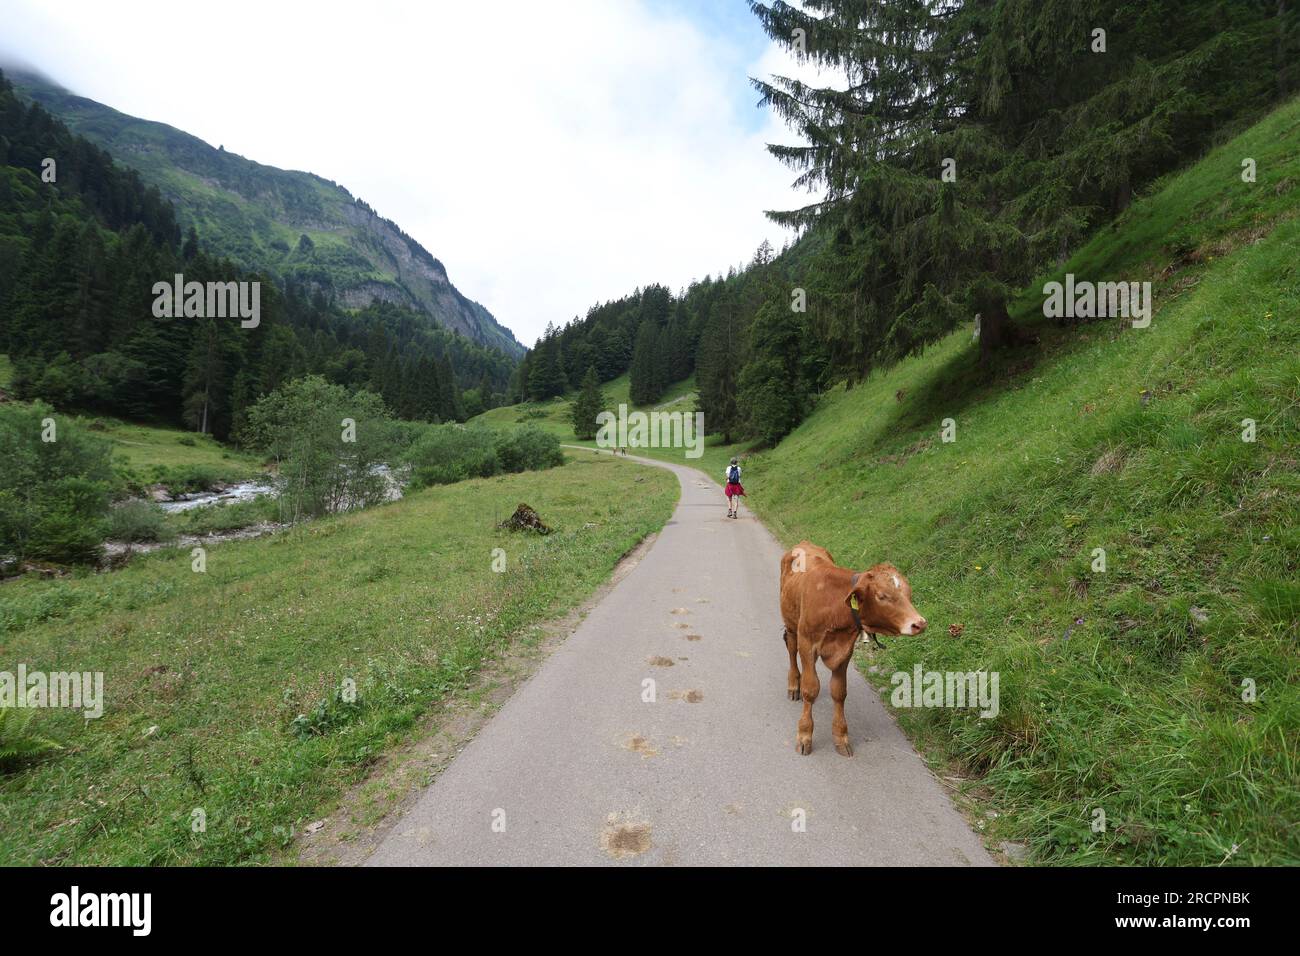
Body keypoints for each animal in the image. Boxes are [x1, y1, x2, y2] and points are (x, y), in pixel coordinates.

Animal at [779, 541, 927, 756]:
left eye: (909, 594)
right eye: (882, 596)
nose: (919, 623)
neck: (834, 607)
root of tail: (804, 543)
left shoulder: (845, 651)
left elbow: (839, 692)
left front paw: (841, 737)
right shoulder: (807, 643)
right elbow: (810, 689)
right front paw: (805, 735)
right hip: (791, 625)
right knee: (791, 649)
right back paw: (793, 685)